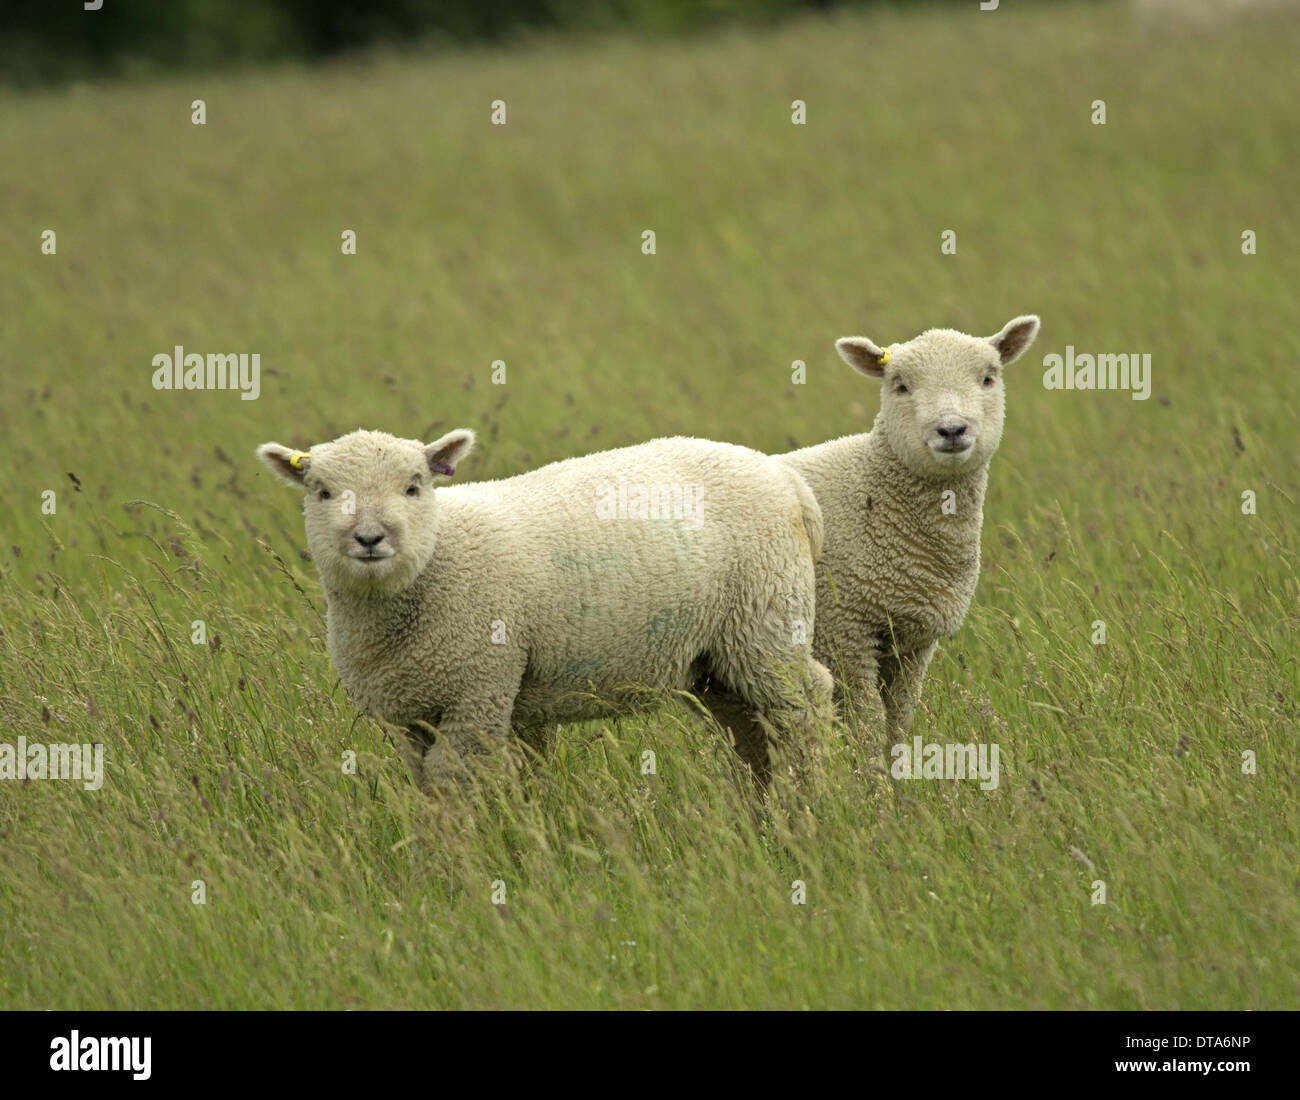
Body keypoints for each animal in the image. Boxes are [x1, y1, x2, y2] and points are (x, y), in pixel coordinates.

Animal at [253, 429, 832, 785]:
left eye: (414, 487)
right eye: (323, 493)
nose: (370, 538)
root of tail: (789, 481)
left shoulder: (478, 690)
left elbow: (450, 785)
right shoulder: (411, 714)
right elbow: (428, 787)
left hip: (766, 623)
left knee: (804, 710)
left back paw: (808, 809)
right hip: (716, 659)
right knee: (752, 733)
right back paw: (760, 814)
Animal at [774, 314, 1040, 738]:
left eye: (988, 378)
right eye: (900, 385)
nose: (952, 430)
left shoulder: (914, 645)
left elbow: (900, 719)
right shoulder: (843, 635)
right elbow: (868, 724)